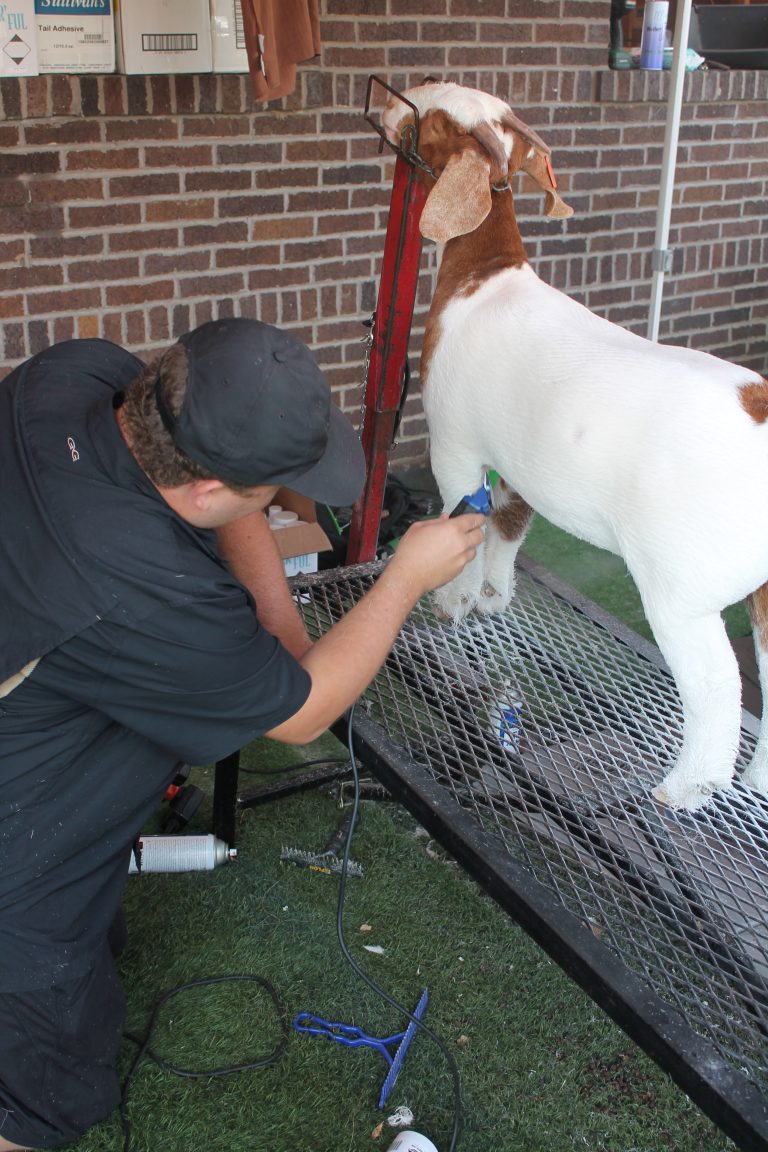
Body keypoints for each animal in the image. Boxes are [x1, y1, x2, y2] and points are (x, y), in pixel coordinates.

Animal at [382, 80, 768, 812]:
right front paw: (494, 598)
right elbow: (506, 525)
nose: (390, 108)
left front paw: (454, 603)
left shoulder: (454, 442)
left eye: (434, 111)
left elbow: (462, 521)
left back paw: (686, 789)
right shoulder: (519, 462)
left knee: (716, 683)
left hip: (681, 585)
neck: (484, 278)